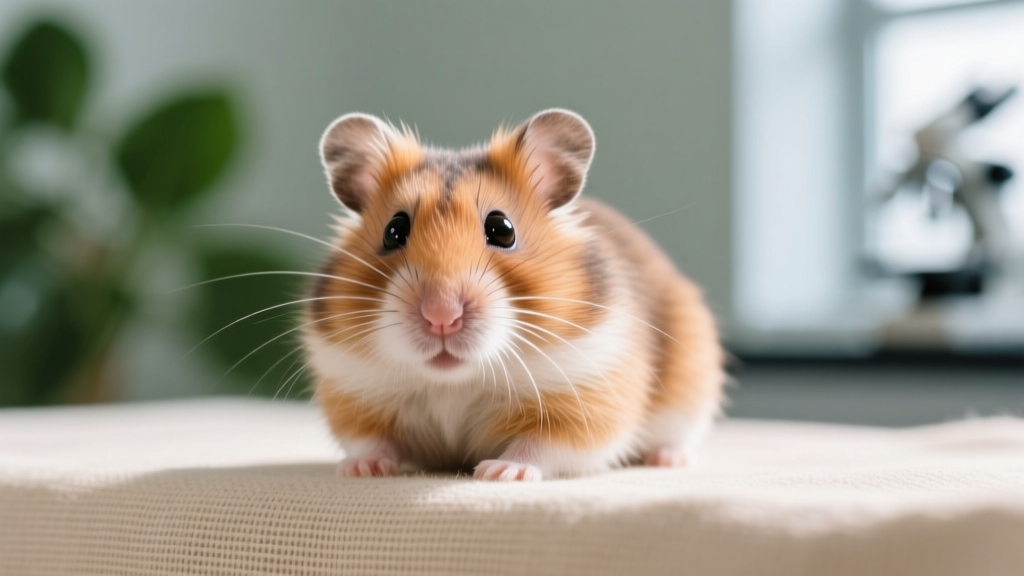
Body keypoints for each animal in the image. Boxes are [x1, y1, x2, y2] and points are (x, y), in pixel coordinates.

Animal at [305, 109, 724, 481]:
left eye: (502, 229)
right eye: (394, 231)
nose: (441, 316)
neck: (455, 381)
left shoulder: (589, 400)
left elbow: (539, 443)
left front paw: (500, 473)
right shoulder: (351, 392)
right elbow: (371, 441)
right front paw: (360, 470)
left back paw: (667, 460)